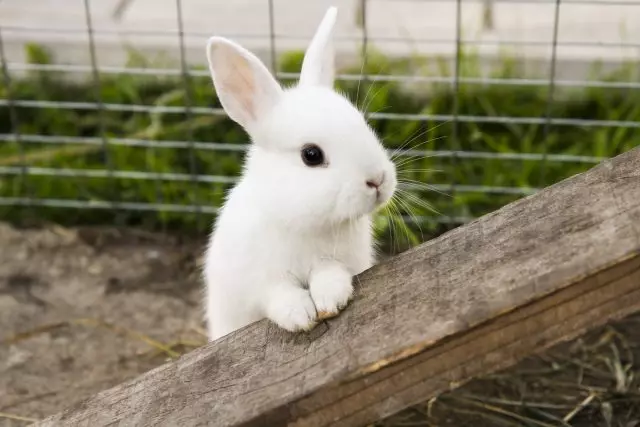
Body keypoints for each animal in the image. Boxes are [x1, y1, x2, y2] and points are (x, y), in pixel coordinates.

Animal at [205, 5, 396, 342]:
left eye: (362, 123)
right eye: (311, 155)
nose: (377, 180)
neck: (302, 222)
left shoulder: (341, 261)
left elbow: (330, 273)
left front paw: (331, 299)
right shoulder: (258, 281)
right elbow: (278, 294)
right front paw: (300, 315)